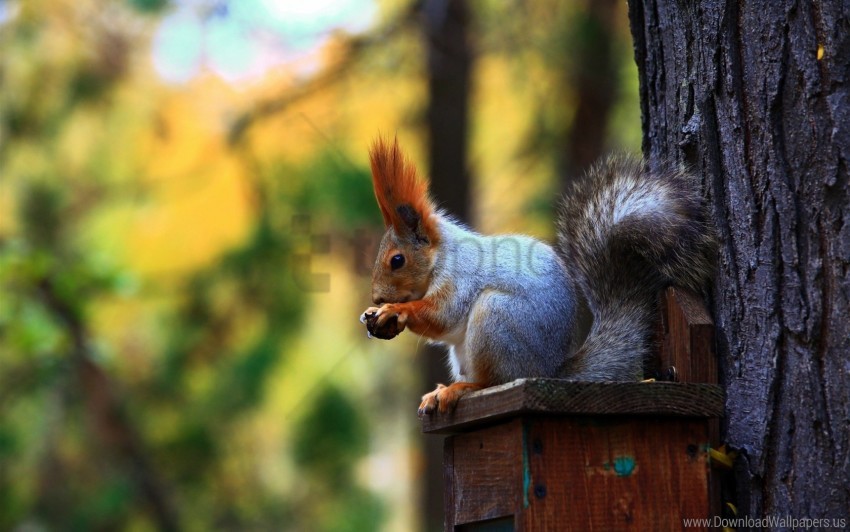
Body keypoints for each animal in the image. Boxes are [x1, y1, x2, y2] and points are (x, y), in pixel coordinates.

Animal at [359, 137, 715, 416]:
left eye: (397, 260)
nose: (377, 296)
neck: (441, 255)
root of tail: (549, 370)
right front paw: (374, 313)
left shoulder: (460, 275)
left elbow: (444, 315)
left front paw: (394, 311)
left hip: (496, 320)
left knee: (493, 381)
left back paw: (461, 388)